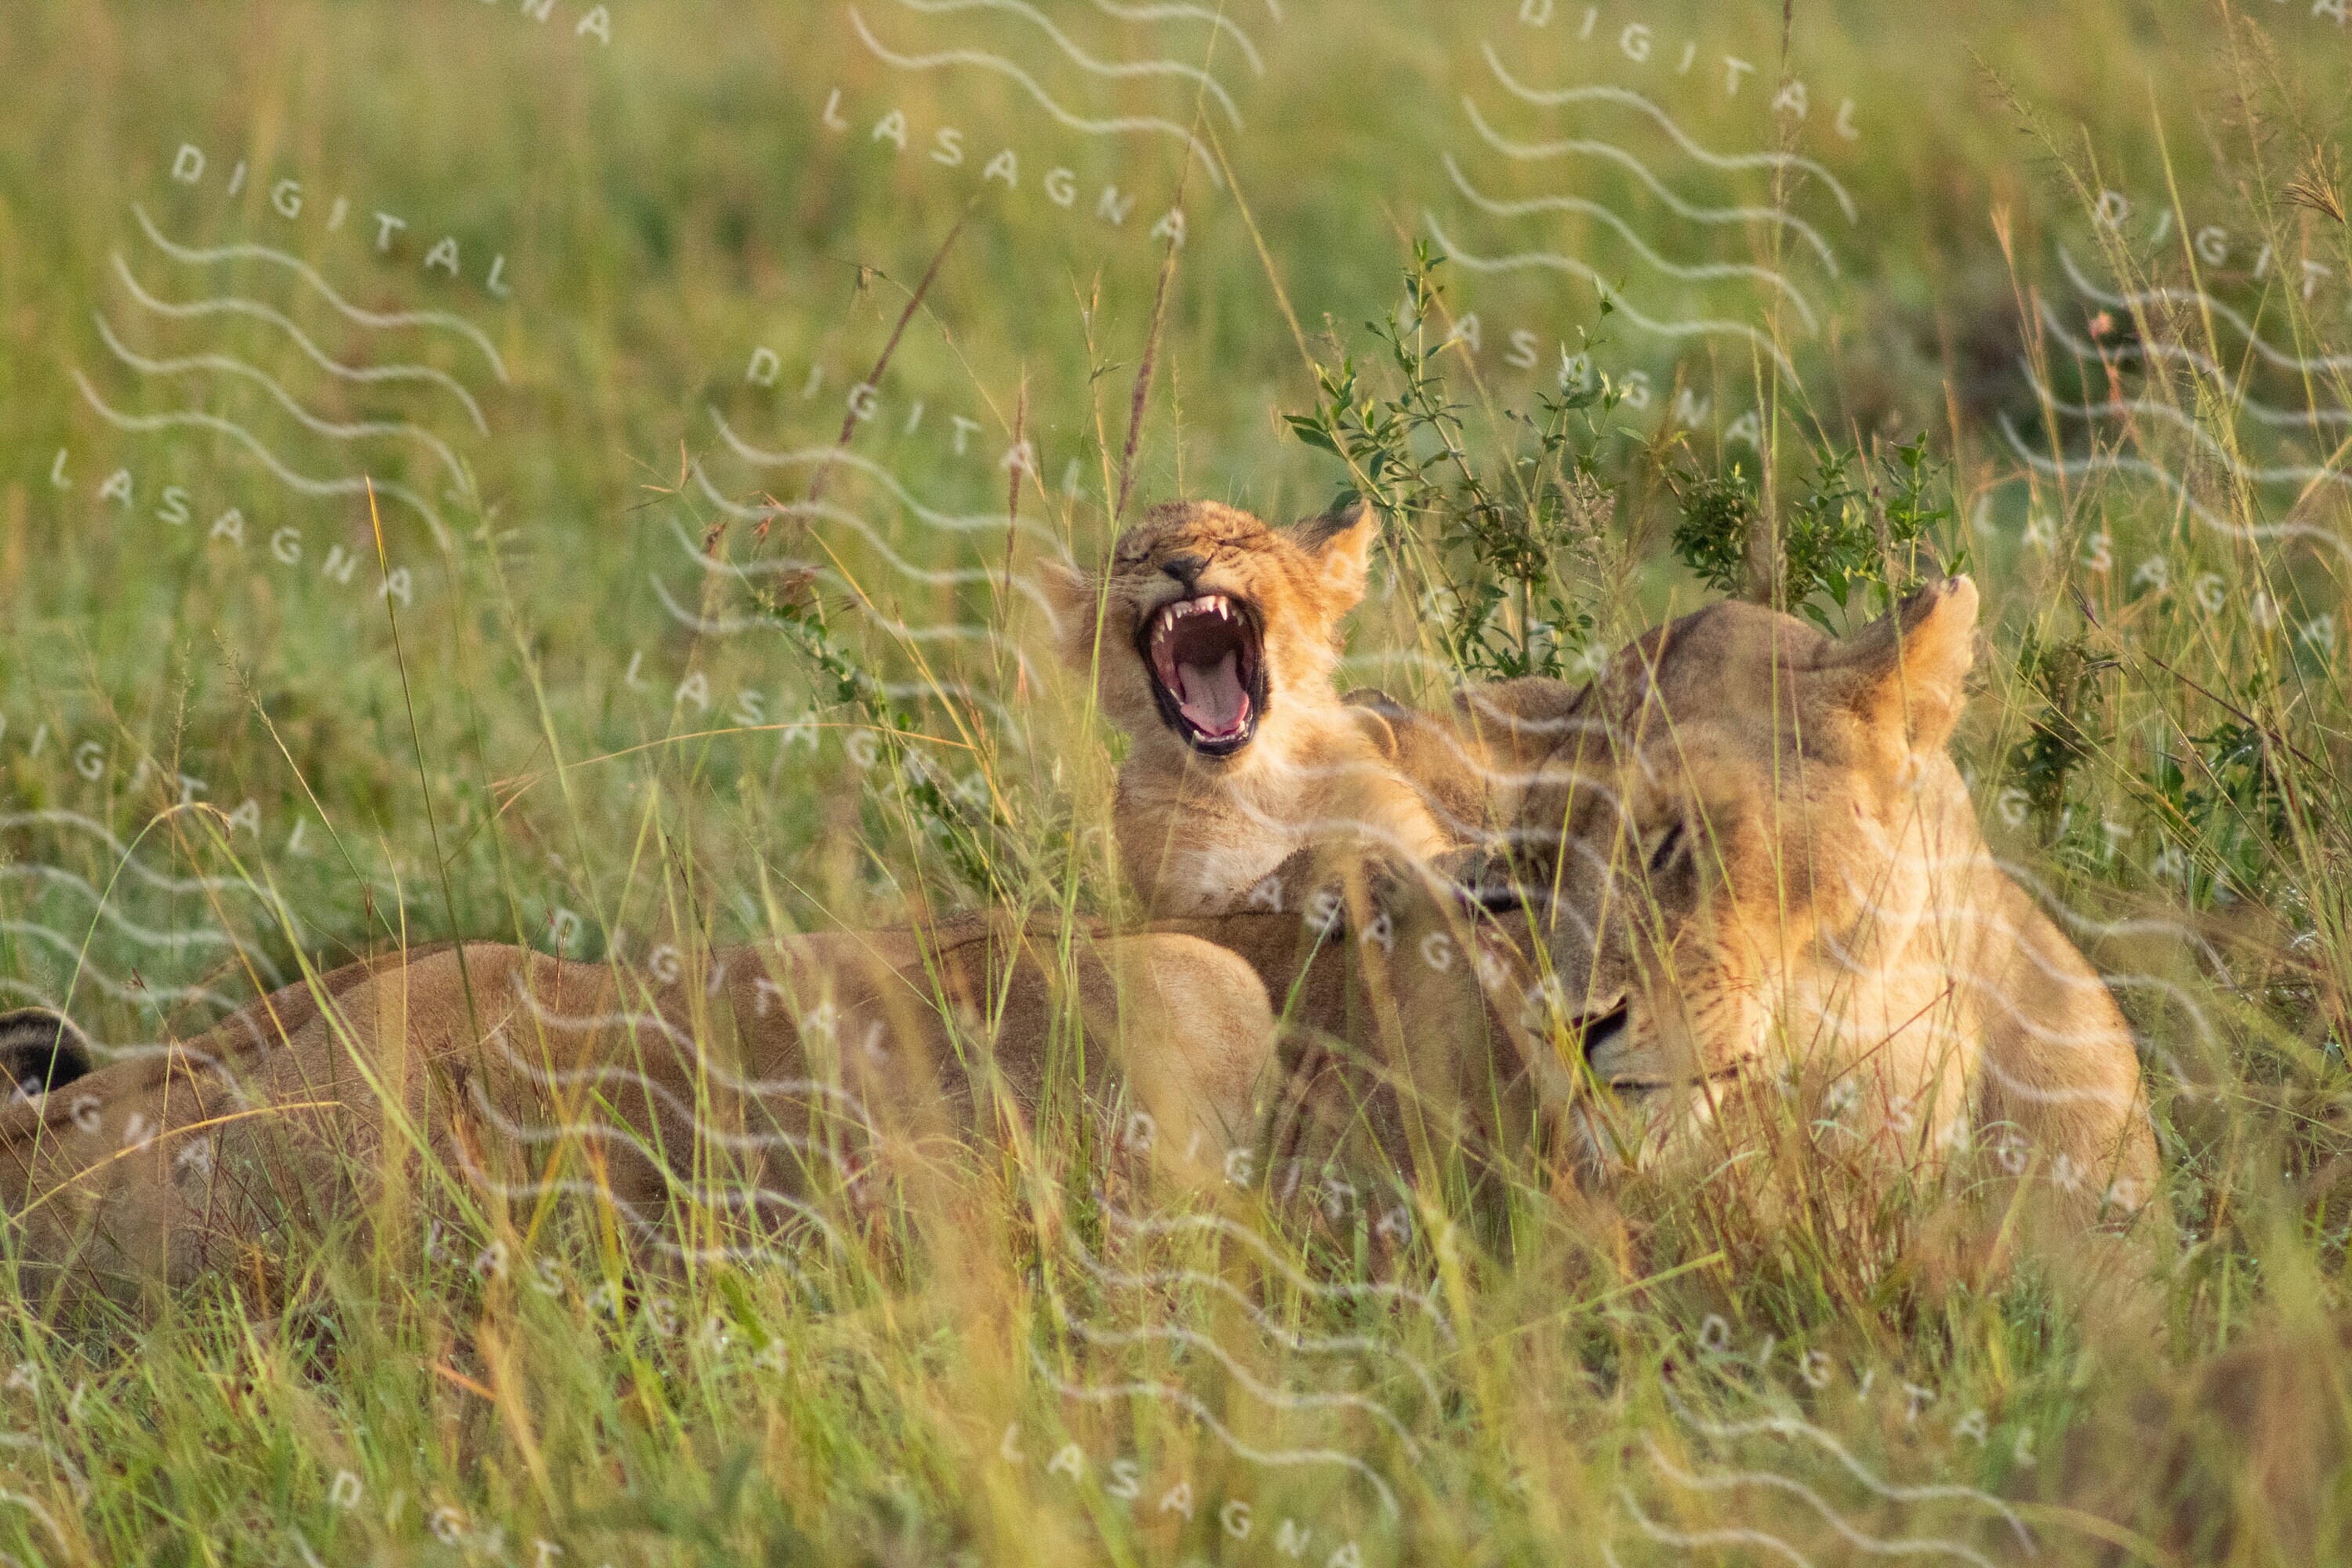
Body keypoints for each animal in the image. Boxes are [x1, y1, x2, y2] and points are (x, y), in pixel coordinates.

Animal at [1048, 499, 1455, 916]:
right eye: (1136, 558)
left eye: (1234, 540)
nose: (1183, 564)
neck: (1266, 786)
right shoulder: (1184, 899)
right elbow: (1277, 875)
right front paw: (1361, 869)